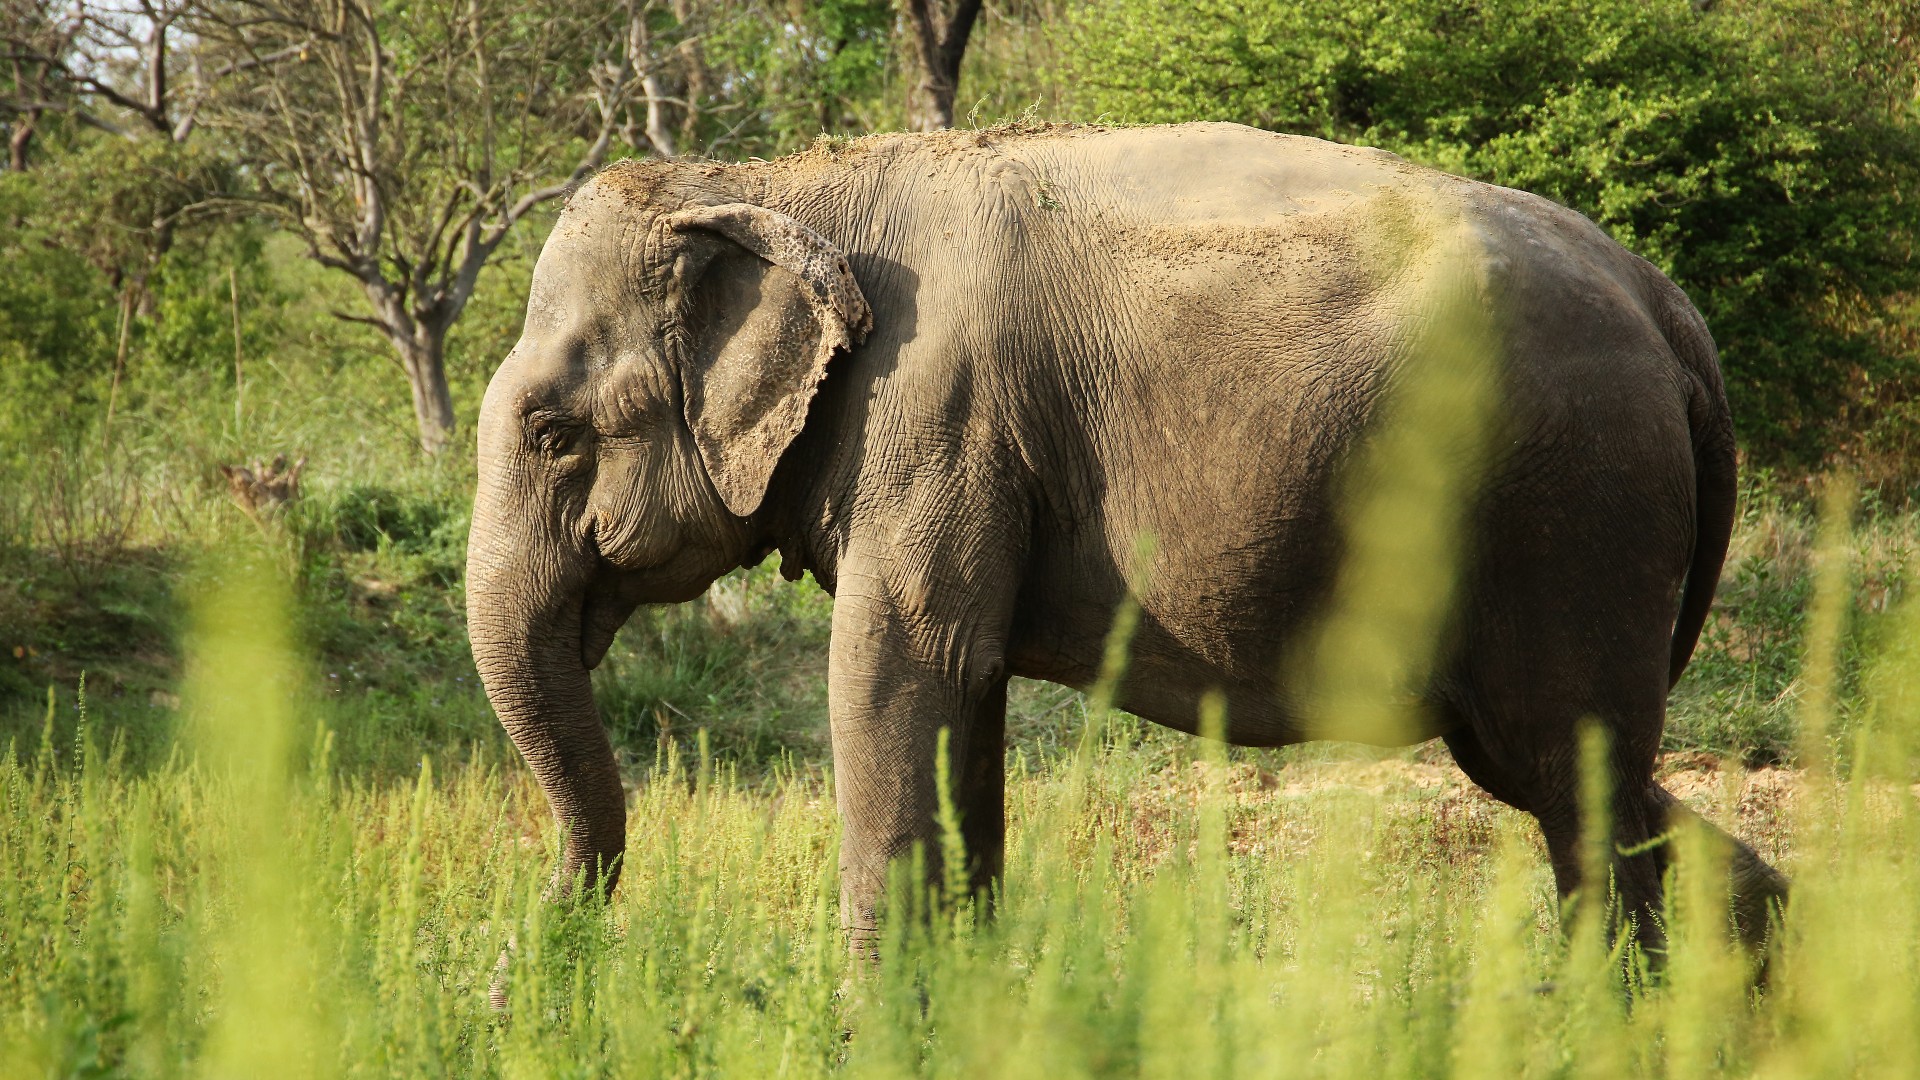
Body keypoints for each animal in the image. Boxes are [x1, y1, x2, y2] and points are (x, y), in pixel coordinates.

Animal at [466, 121, 1787, 964]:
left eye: (550, 433)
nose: (533, 958)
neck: (775, 181)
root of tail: (1673, 316)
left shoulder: (936, 415)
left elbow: (892, 676)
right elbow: (961, 704)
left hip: (1576, 507)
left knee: (1570, 779)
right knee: (1565, 776)